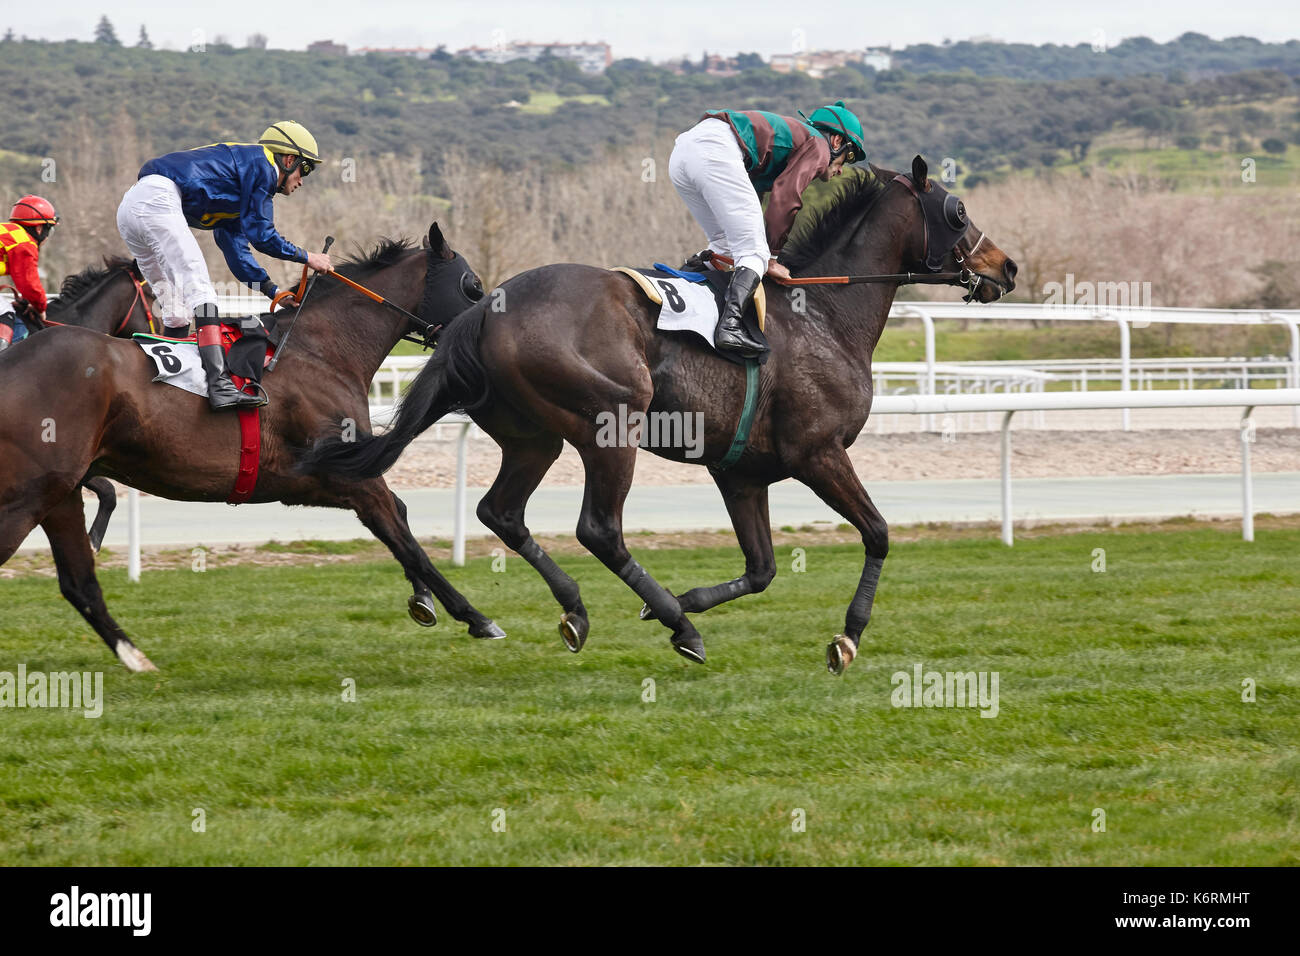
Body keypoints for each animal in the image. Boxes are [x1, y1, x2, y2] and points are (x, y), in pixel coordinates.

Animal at [0, 222, 504, 672]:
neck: (320, 350)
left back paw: (137, 659)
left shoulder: (313, 480)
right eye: (474, 286)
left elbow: (399, 518)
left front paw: (423, 599)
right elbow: (407, 539)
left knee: (79, 583)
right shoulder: (345, 475)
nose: (484, 327)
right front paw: (476, 617)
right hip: (31, 494)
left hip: (60, 493)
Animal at [302, 158, 1018, 675]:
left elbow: (762, 570)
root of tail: (486, 308)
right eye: (957, 211)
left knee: (501, 512)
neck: (825, 317)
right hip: (613, 424)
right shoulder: (819, 453)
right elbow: (878, 533)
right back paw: (680, 625)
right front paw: (847, 637)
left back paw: (584, 610)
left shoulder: (742, 474)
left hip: (533, 438)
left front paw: (696, 601)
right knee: (598, 530)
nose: (1005, 267)